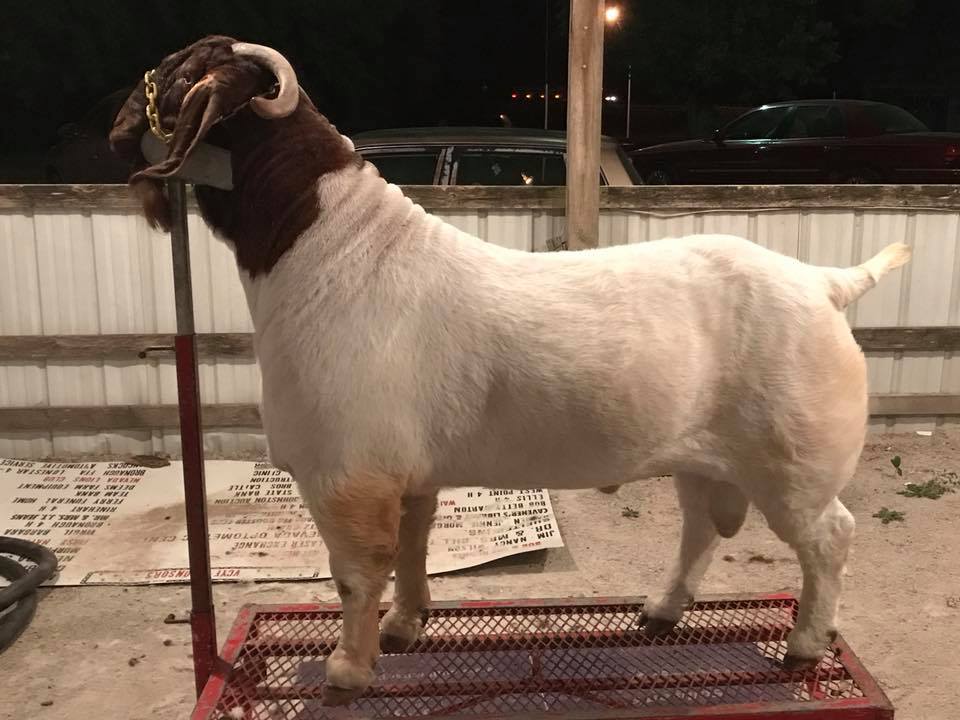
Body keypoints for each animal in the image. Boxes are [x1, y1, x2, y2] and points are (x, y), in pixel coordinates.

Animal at [110, 36, 911, 706]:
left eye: (181, 70)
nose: (117, 130)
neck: (328, 247)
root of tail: (826, 282)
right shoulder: (406, 473)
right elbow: (413, 545)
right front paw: (404, 627)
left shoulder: (345, 472)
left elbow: (356, 573)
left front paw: (347, 671)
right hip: (705, 457)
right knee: (701, 529)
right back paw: (661, 609)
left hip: (796, 460)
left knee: (829, 538)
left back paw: (804, 647)